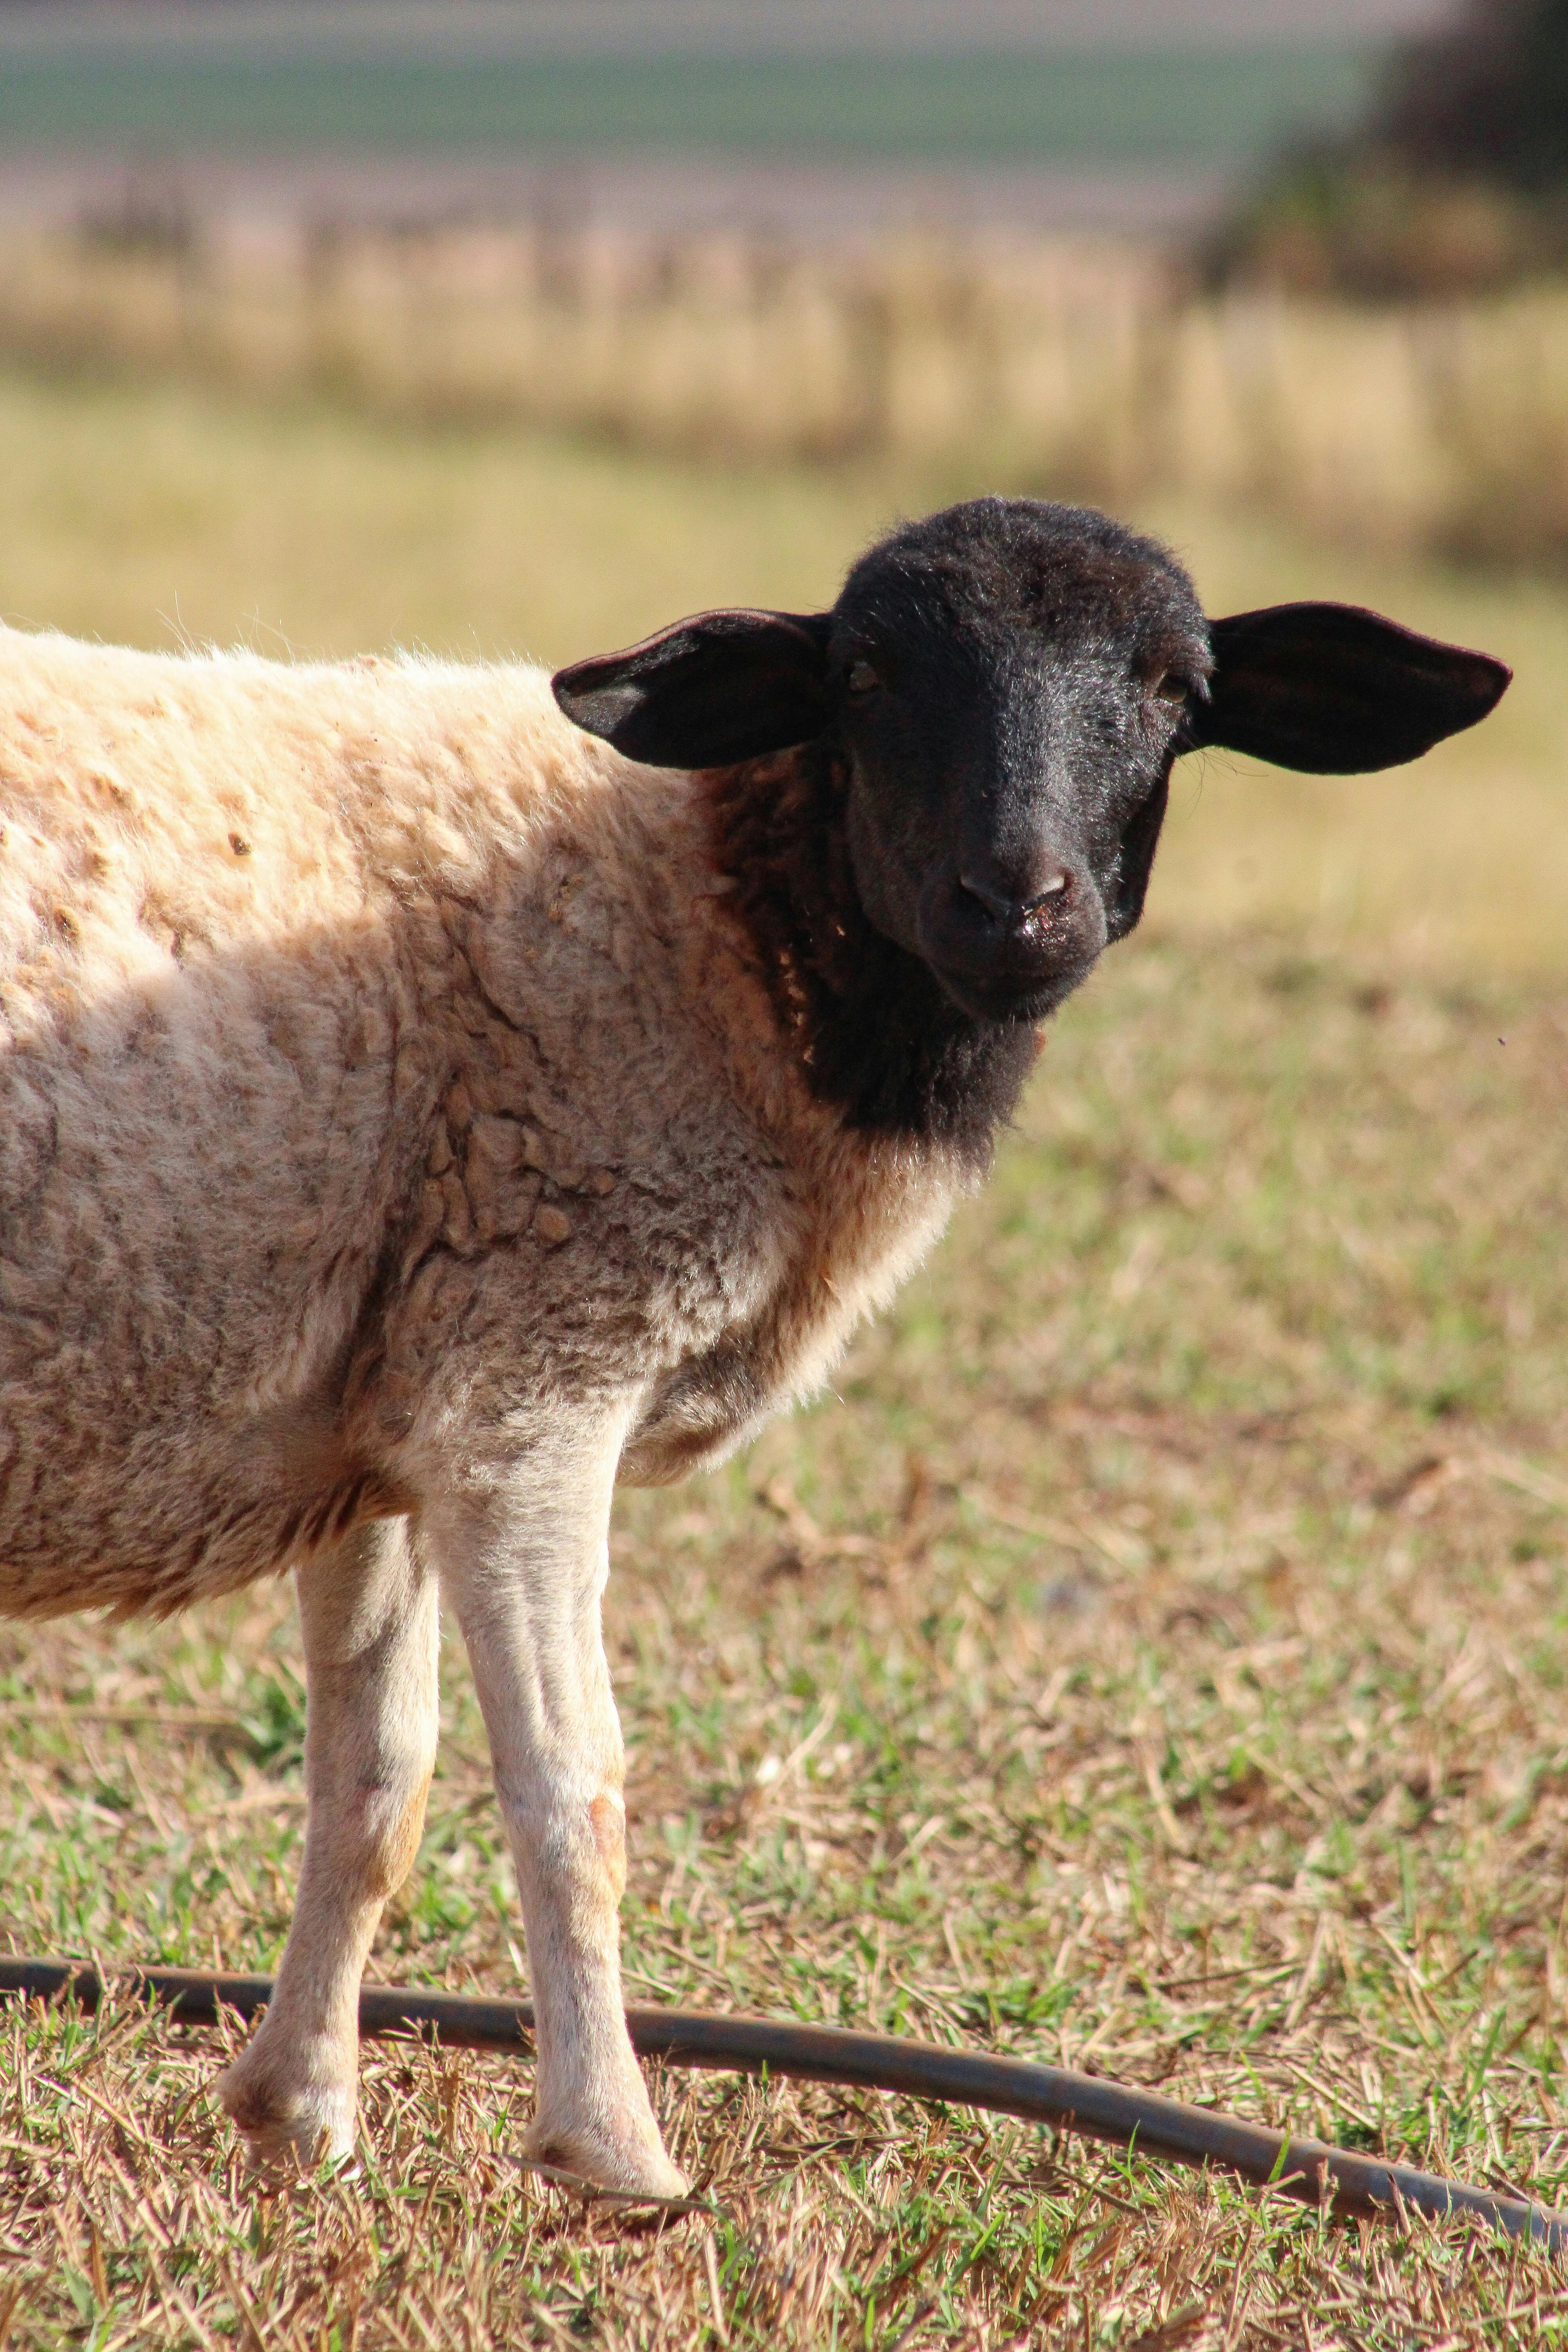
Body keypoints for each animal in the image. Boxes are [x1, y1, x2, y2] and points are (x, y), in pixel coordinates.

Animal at [0, 497, 1508, 2195]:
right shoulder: (532, 1376)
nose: (1019, 901)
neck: (710, 919)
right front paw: (613, 2153)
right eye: (861, 675)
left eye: (1178, 689)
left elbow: (373, 1787)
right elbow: (571, 1793)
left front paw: (300, 2117)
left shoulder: (383, 1400)